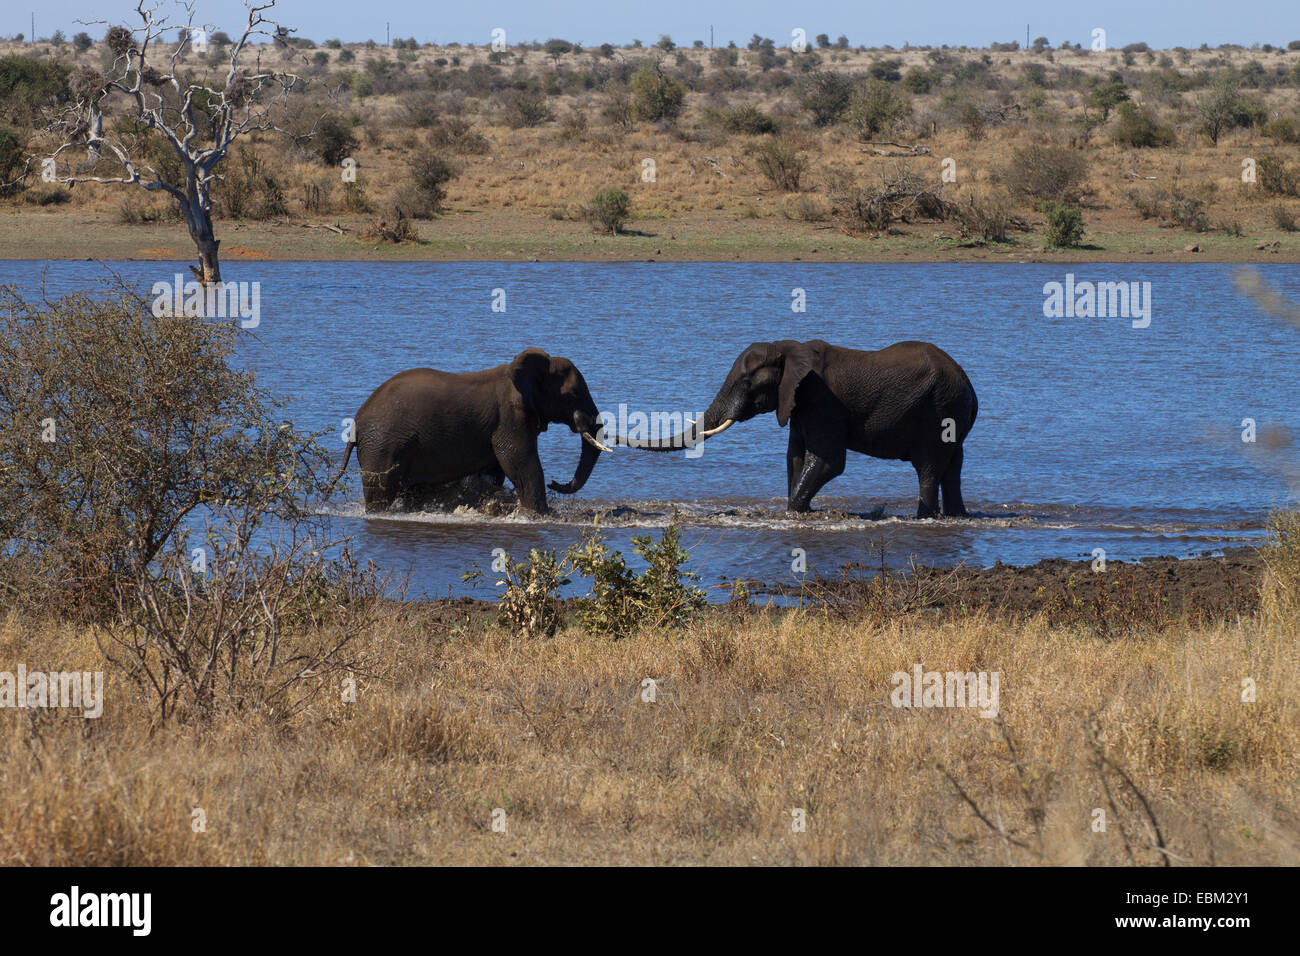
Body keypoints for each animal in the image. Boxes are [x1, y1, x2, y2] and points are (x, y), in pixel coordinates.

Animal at [335, 348, 613, 514]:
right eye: (572, 394)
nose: (556, 483)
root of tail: (356, 423)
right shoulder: (509, 417)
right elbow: (522, 463)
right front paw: (541, 515)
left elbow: (496, 470)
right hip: (382, 446)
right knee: (381, 490)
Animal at [619, 339, 977, 518]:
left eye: (747, 382)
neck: (788, 348)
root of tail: (969, 385)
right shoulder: (797, 401)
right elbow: (795, 456)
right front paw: (799, 511)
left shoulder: (821, 399)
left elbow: (828, 461)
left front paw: (795, 511)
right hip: (952, 413)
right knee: (952, 467)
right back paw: (956, 517)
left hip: (940, 410)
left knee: (928, 467)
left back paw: (924, 518)